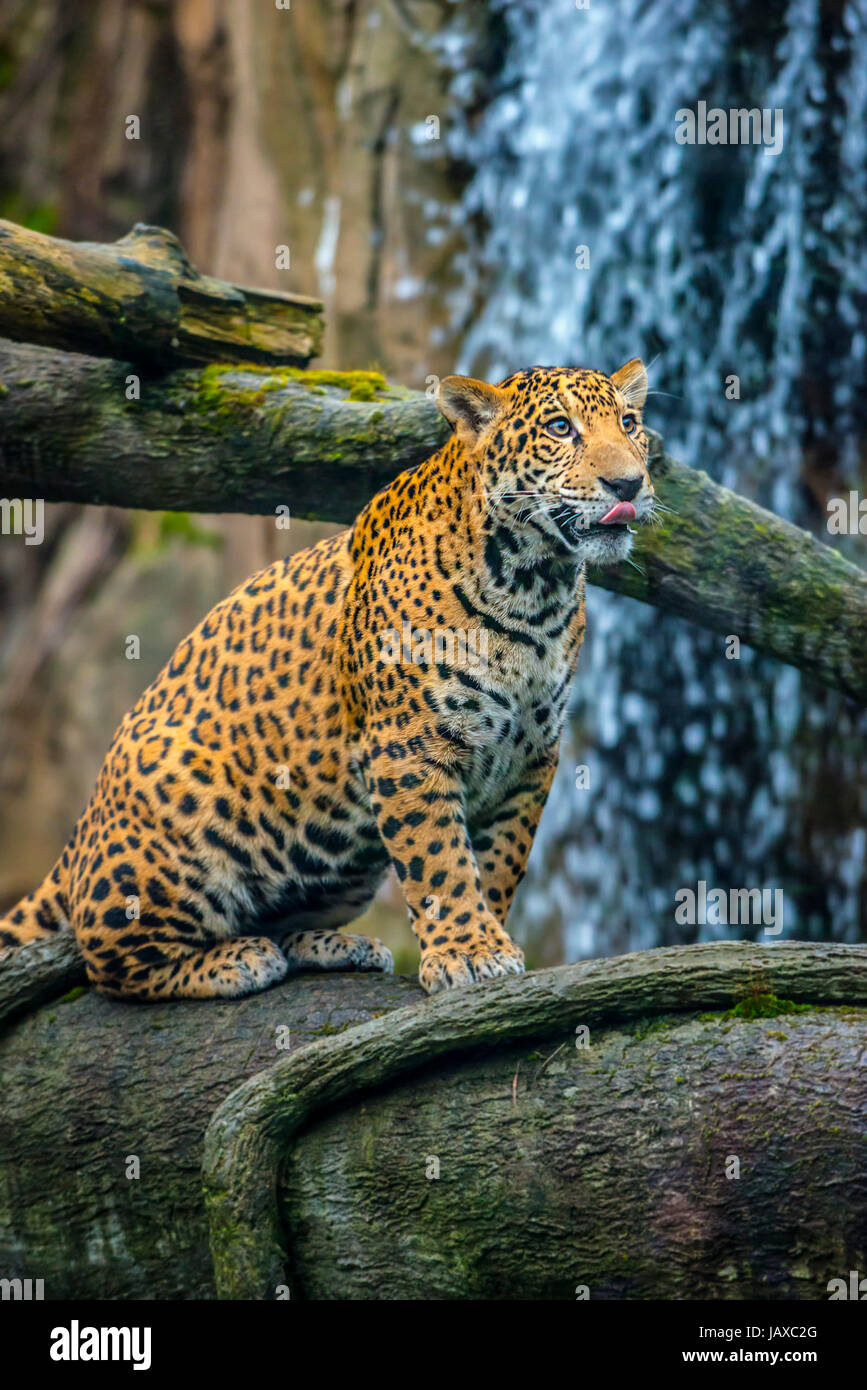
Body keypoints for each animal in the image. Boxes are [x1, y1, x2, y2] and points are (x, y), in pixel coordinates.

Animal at [0, 359, 653, 1001]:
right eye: (561, 429)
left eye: (629, 423)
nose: (628, 485)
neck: (533, 589)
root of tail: (81, 831)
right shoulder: (409, 747)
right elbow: (440, 859)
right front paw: (469, 952)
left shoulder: (531, 755)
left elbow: (498, 862)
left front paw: (487, 937)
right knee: (106, 960)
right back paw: (234, 961)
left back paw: (334, 946)